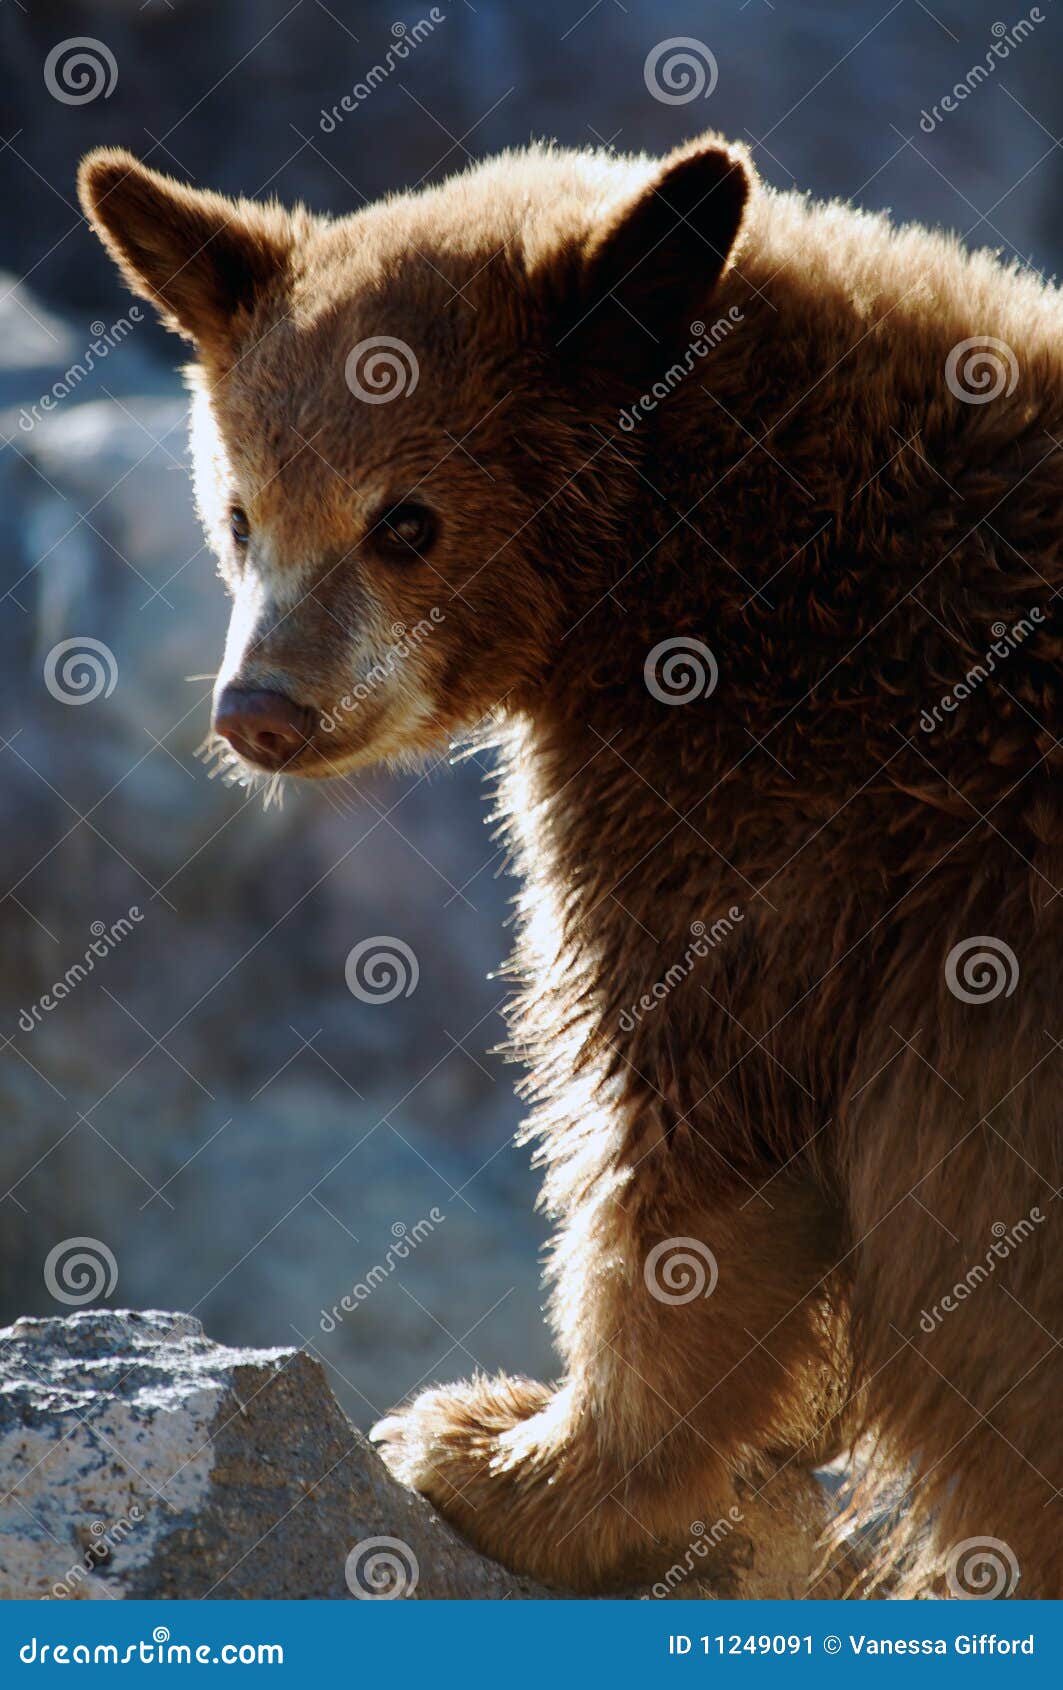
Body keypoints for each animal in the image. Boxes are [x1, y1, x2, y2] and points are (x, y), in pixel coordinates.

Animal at [78, 132, 1063, 1597]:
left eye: (407, 520)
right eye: (241, 509)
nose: (261, 708)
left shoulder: (772, 805)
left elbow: (695, 1139)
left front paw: (501, 1454)